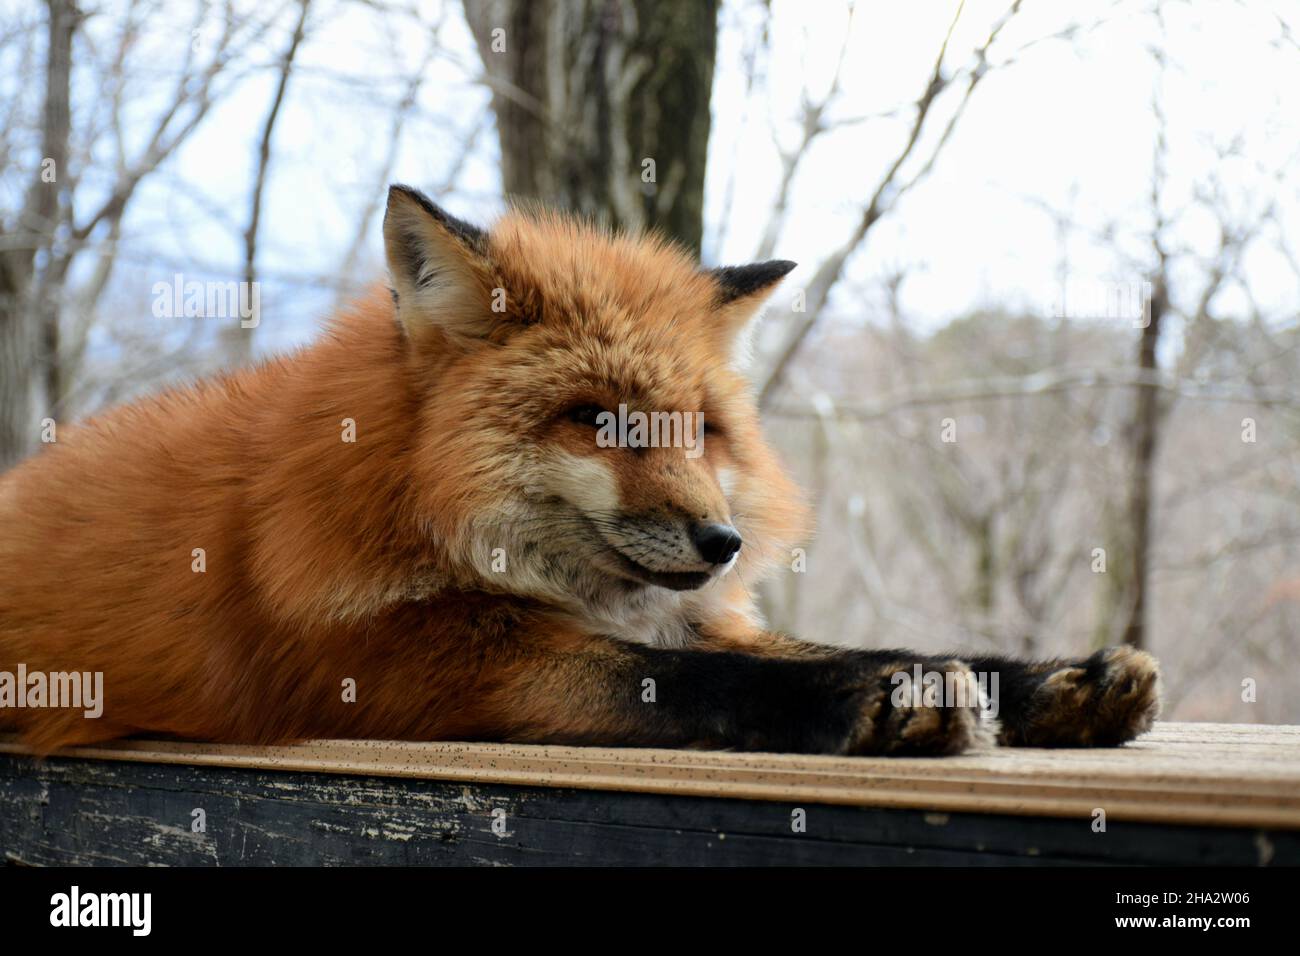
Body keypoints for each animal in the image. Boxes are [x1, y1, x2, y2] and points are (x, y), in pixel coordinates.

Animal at [0, 184, 1161, 756]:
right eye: (598, 420)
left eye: (700, 429)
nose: (723, 541)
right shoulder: (411, 664)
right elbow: (697, 682)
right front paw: (872, 700)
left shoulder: (681, 610)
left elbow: (867, 643)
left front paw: (1047, 680)